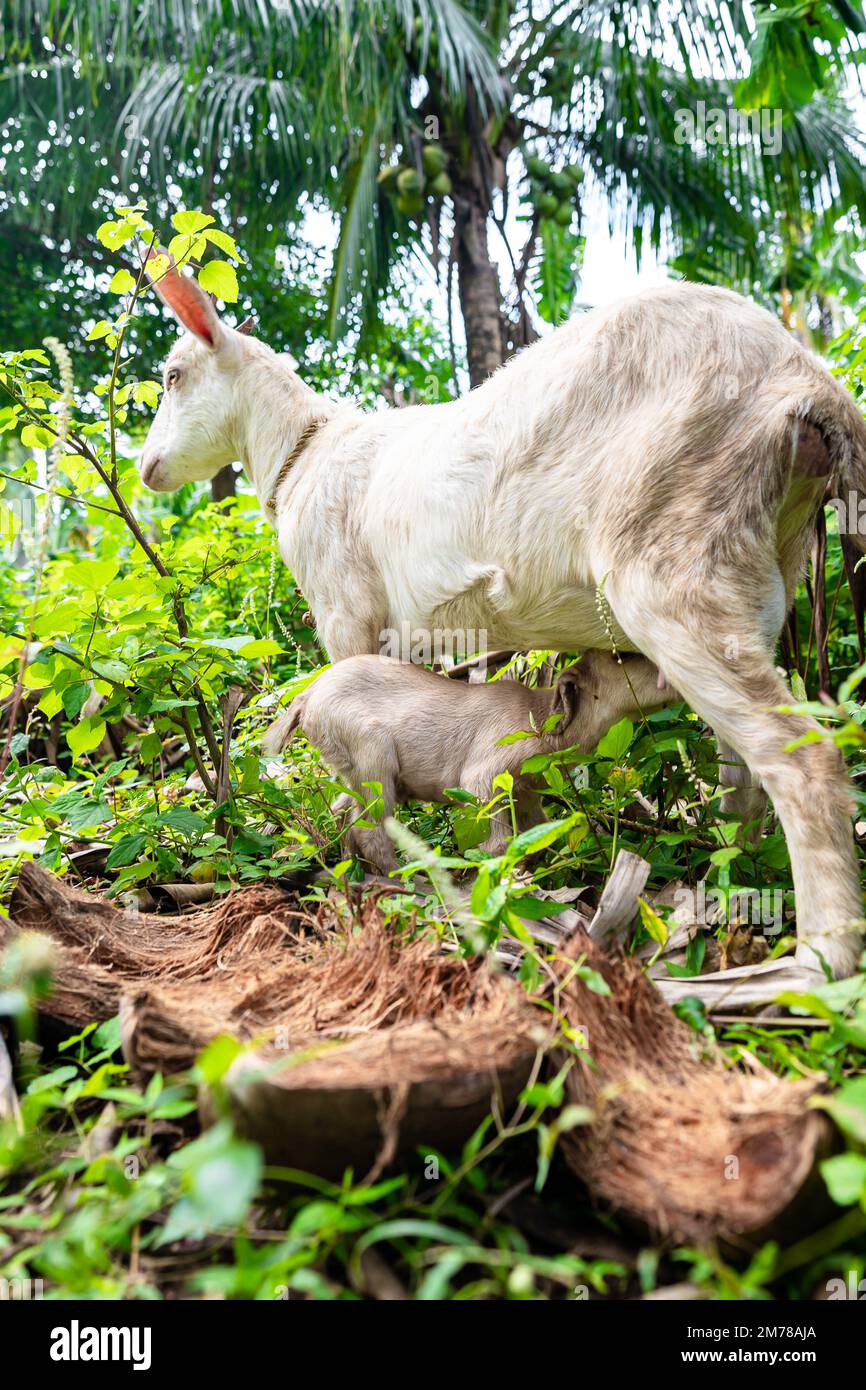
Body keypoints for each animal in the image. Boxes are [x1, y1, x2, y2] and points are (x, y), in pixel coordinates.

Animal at [262, 650, 667, 872]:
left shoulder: (525, 791)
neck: (540, 720)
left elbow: (539, 832)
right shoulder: (482, 777)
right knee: (371, 830)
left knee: (341, 814)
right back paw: (409, 880)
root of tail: (307, 698)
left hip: (351, 773)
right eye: (623, 656)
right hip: (374, 758)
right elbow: (499, 843)